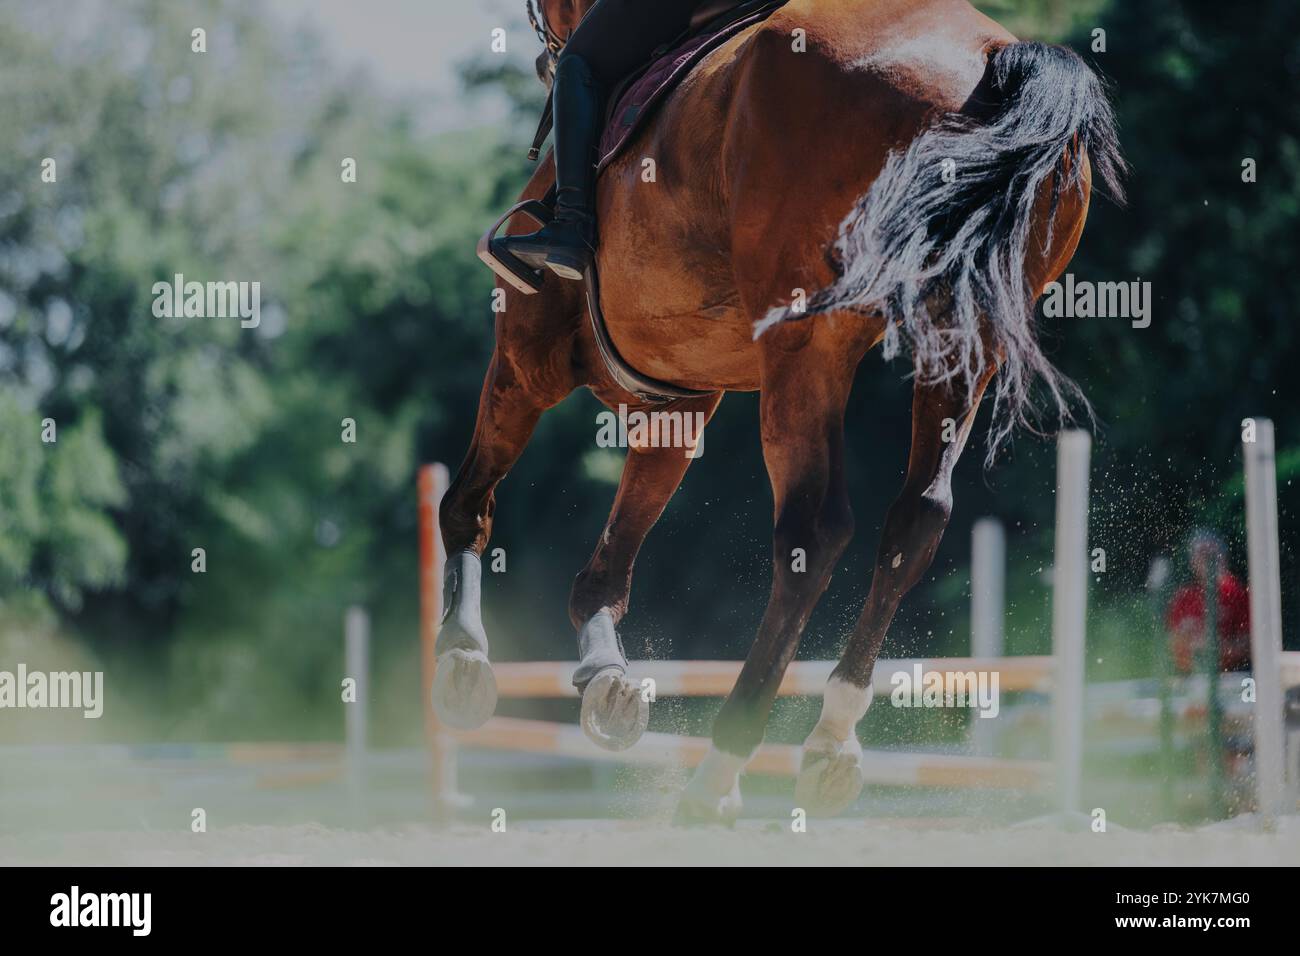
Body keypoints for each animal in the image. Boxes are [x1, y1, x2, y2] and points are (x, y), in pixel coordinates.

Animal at [436, 0, 1124, 823]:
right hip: (964, 342)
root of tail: (991, 59)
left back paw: (720, 770)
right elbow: (612, 553)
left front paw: (461, 654)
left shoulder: (527, 355)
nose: (547, 54)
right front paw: (605, 673)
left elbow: (468, 501)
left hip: (809, 340)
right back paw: (831, 740)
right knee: (916, 521)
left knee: (814, 534)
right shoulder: (679, 398)